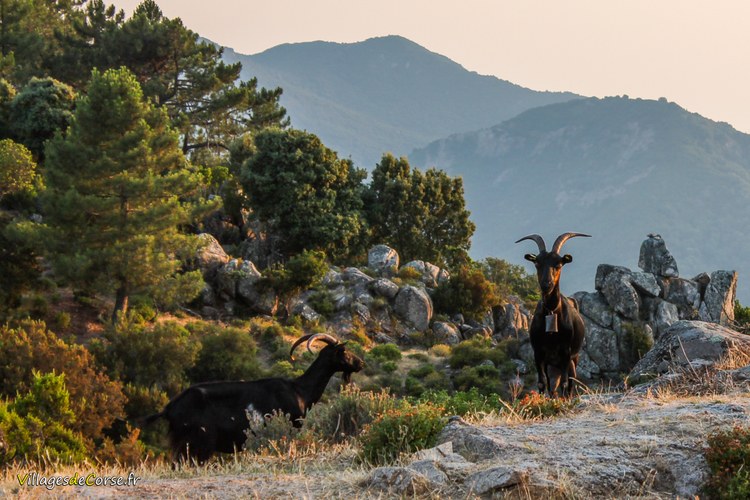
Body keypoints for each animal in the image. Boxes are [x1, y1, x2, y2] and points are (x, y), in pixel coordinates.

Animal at [141, 333, 364, 463]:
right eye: (344, 351)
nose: (360, 363)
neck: (300, 390)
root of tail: (169, 409)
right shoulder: (292, 426)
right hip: (195, 442)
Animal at [516, 232, 590, 397]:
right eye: (537, 263)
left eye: (559, 264)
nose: (546, 284)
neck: (551, 311)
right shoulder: (539, 353)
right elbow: (542, 383)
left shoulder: (565, 353)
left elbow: (564, 383)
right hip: (552, 364)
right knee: (553, 384)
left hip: (573, 358)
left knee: (571, 381)